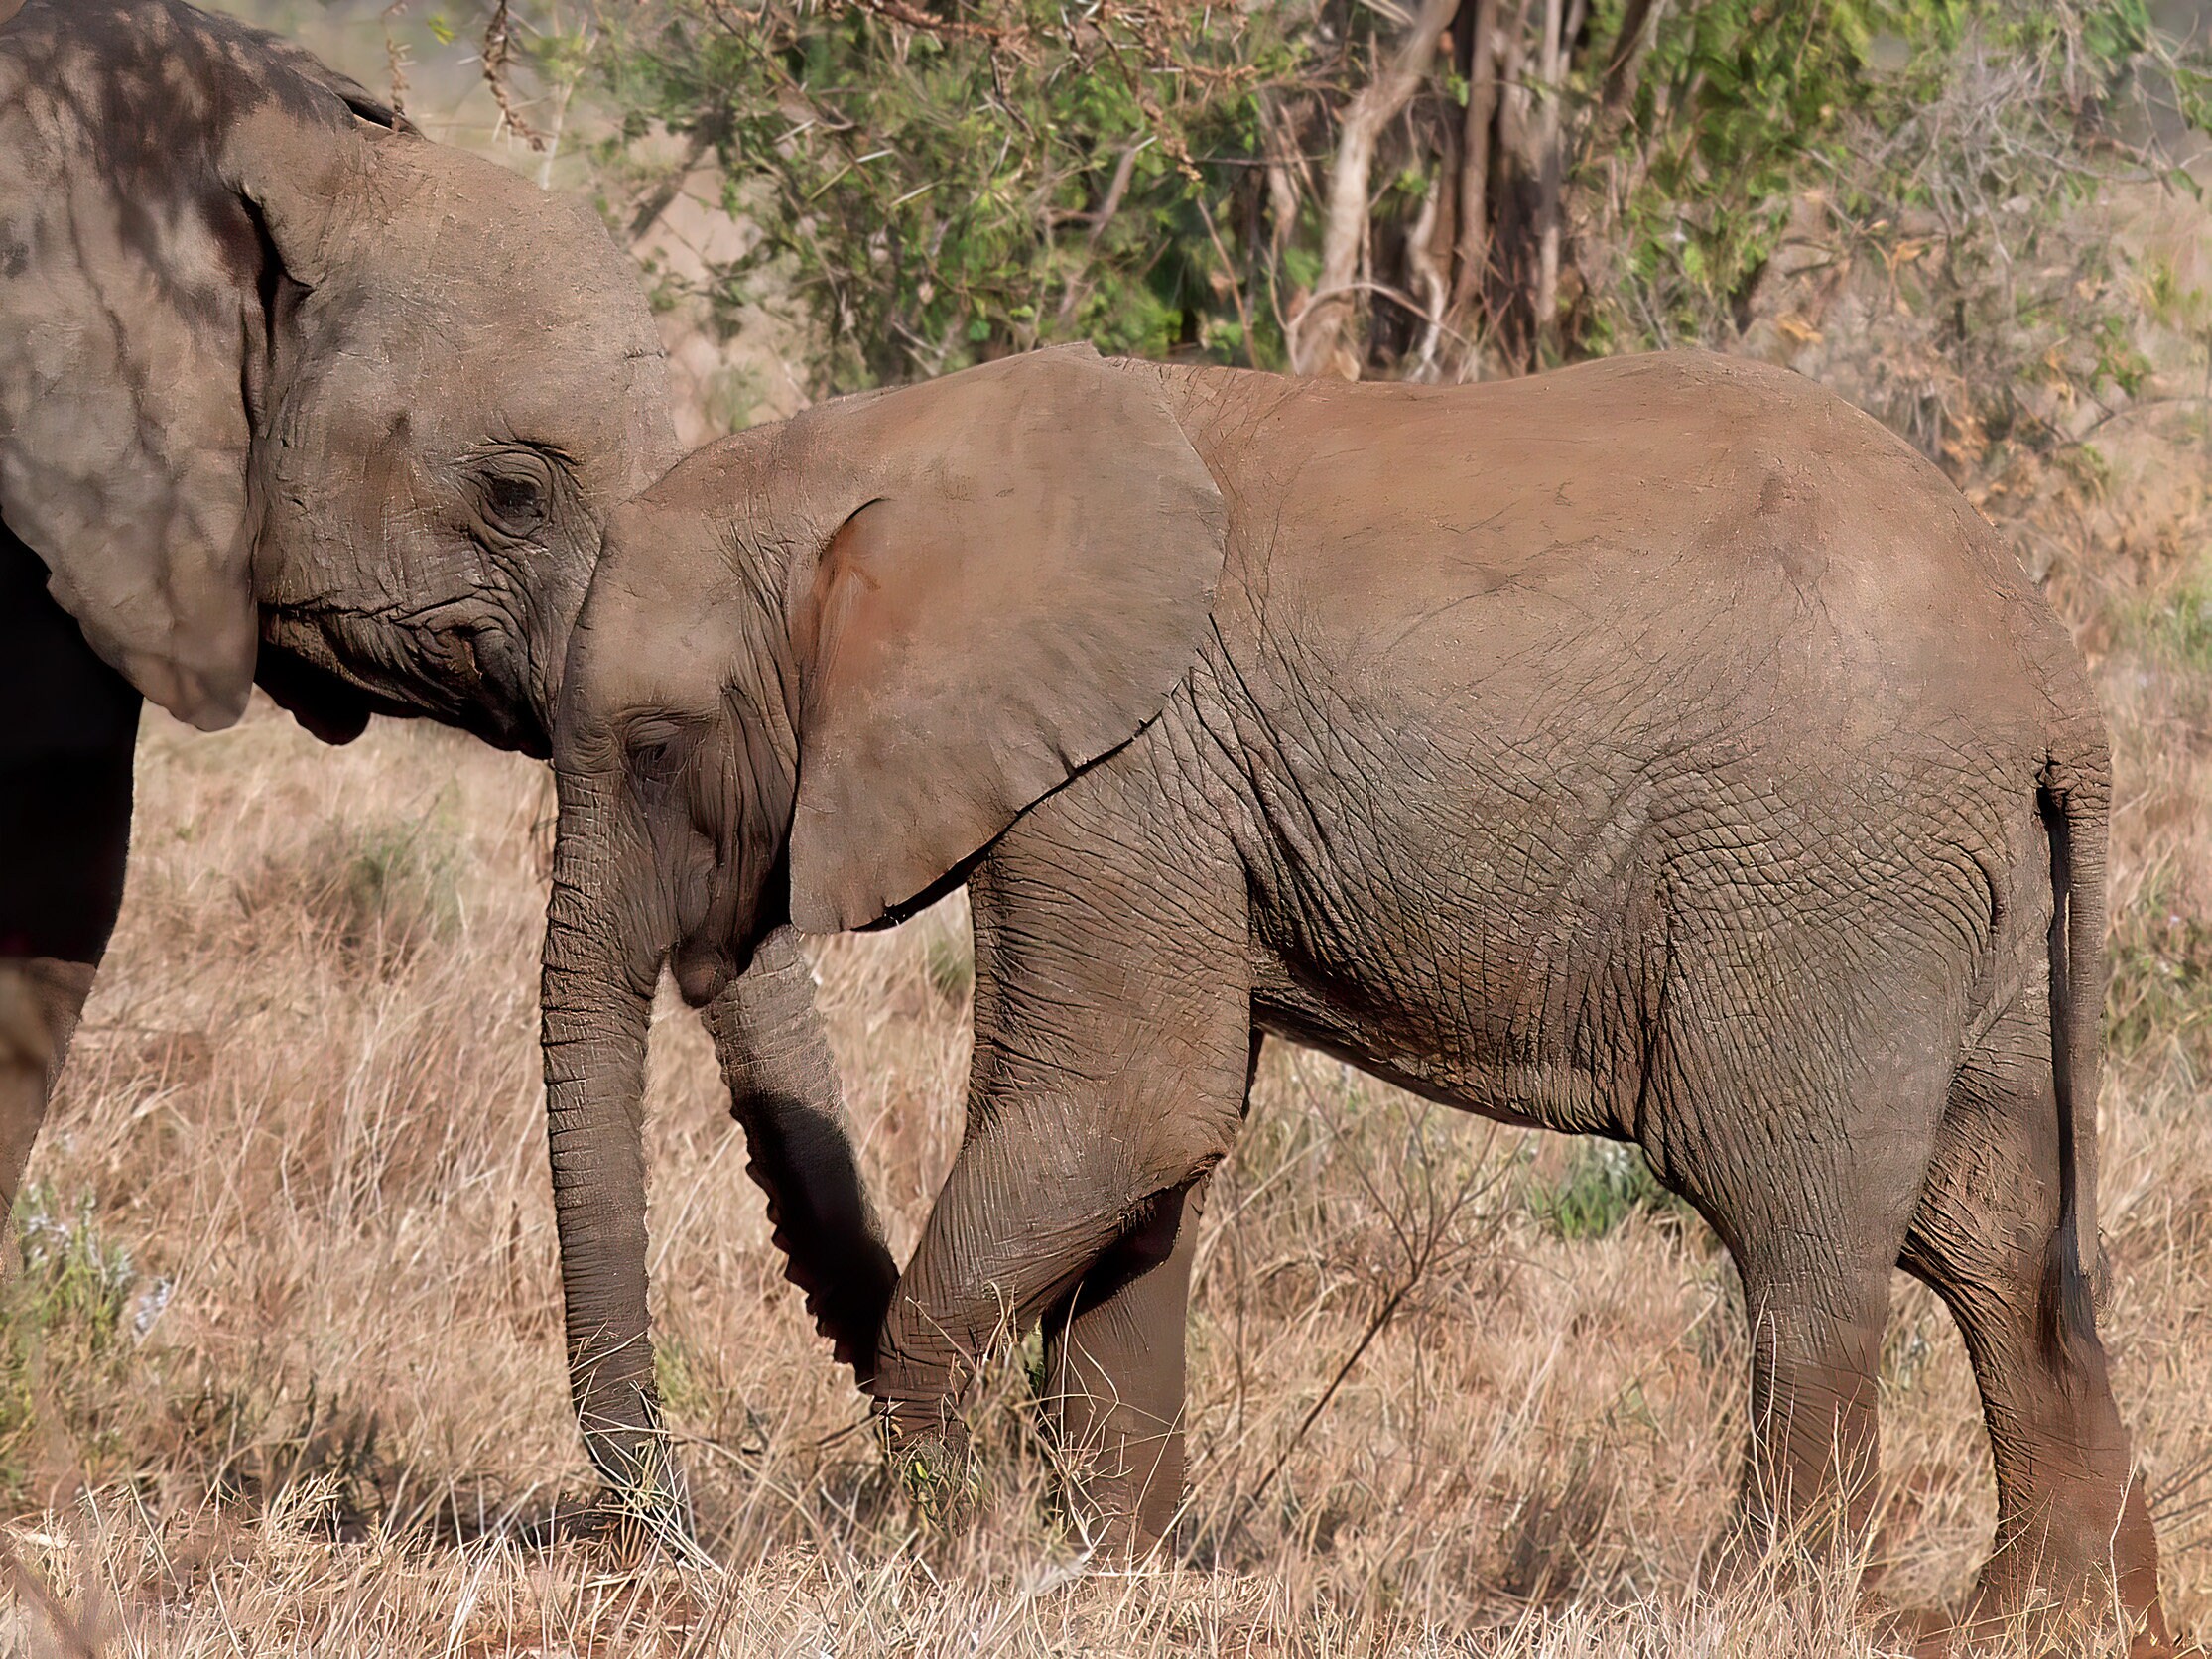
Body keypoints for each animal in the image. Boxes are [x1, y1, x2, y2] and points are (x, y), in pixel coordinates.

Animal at [540, 340, 2168, 1641]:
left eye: (658, 748)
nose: (665, 1541)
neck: (892, 447)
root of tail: (2056, 682)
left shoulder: (1118, 779)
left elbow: (1126, 1111)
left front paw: (930, 1553)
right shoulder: (1142, 788)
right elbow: (1152, 1170)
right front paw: (1115, 1579)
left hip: (1823, 873)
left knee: (1796, 1227)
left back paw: (1763, 1603)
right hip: (1965, 894)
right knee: (1994, 1231)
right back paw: (2052, 1619)